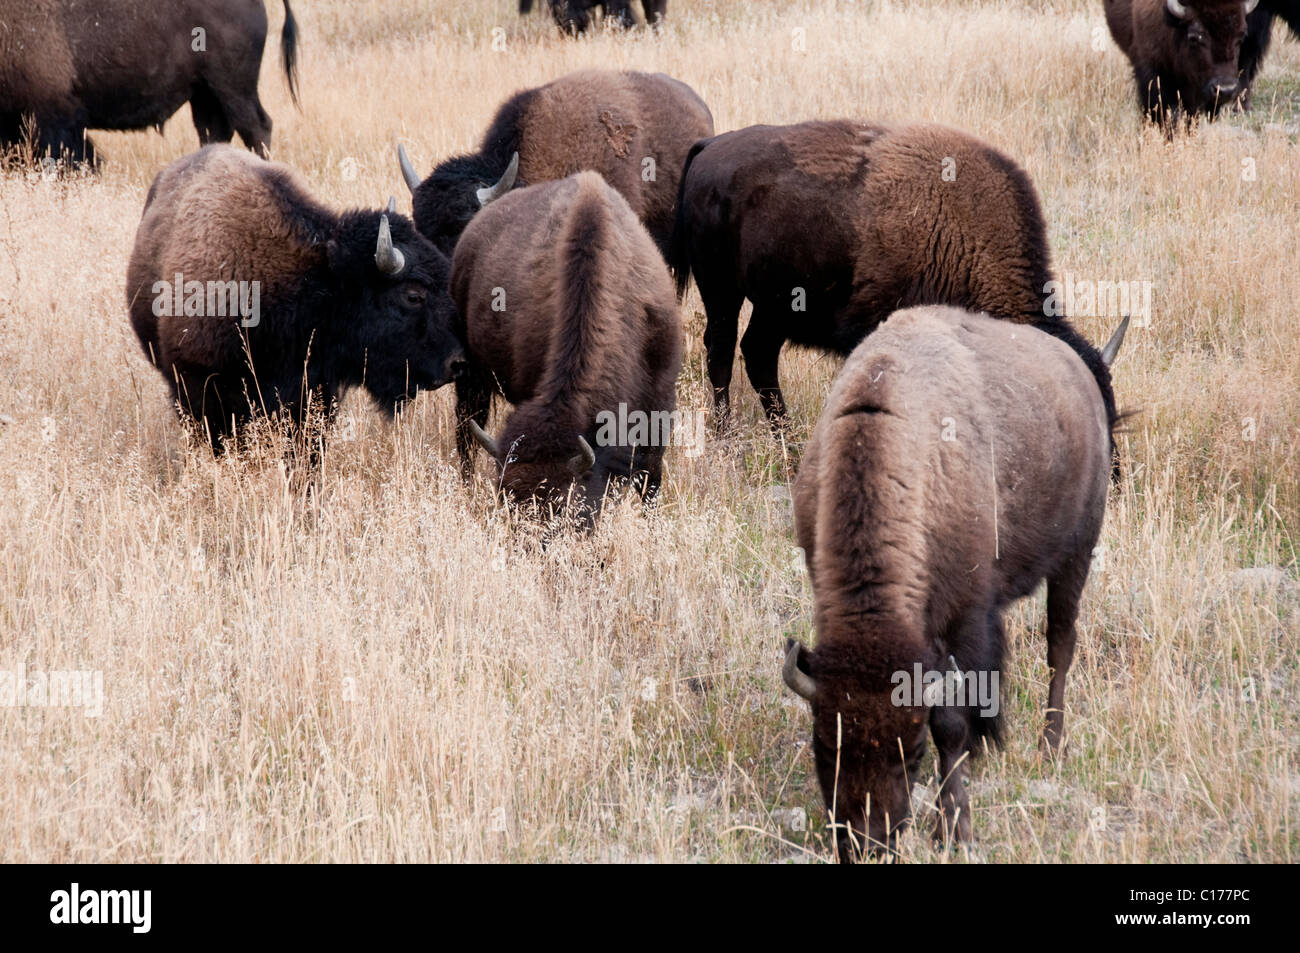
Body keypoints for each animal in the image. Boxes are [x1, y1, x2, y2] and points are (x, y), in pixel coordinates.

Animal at [450, 171, 682, 519]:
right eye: (505, 500)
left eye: (562, 506)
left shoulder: (661, 400)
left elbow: (650, 478)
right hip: (471, 378)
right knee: (466, 432)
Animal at [669, 120, 1119, 436]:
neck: (961, 236)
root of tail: (710, 146)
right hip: (721, 290)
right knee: (721, 350)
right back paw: (727, 437)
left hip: (774, 303)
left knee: (758, 353)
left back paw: (789, 441)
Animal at [783, 305, 1128, 860]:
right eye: (825, 746)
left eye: (912, 750)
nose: (869, 843)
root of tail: (1079, 373)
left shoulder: (962, 619)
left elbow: (951, 722)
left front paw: (955, 828)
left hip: (1077, 552)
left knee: (1060, 643)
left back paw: (1050, 746)